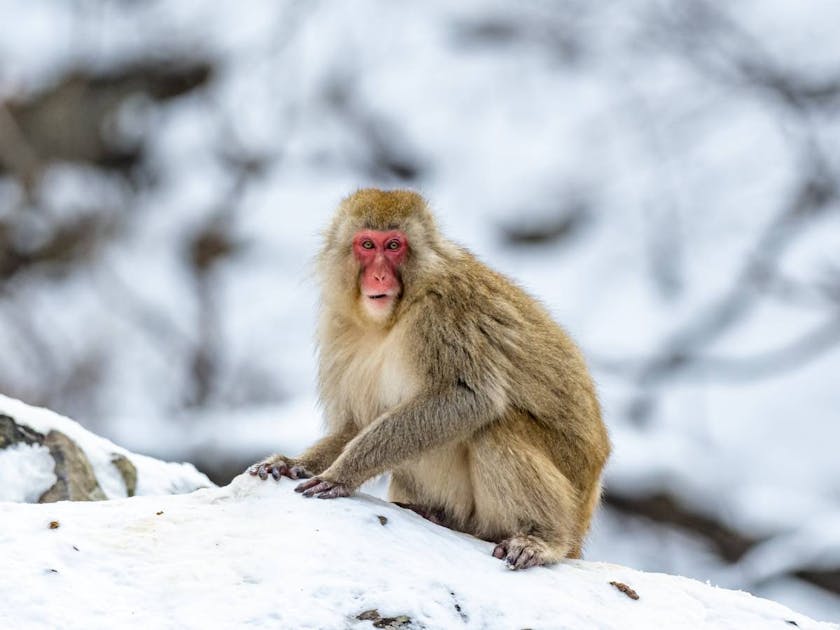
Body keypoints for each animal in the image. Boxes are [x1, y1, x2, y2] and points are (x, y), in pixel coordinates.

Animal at [249, 188, 610, 569]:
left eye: (394, 245)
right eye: (367, 244)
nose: (379, 277)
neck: (392, 318)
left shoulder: (444, 313)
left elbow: (467, 398)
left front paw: (342, 473)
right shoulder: (339, 327)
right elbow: (356, 422)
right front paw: (294, 464)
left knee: (495, 427)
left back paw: (542, 539)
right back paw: (434, 514)